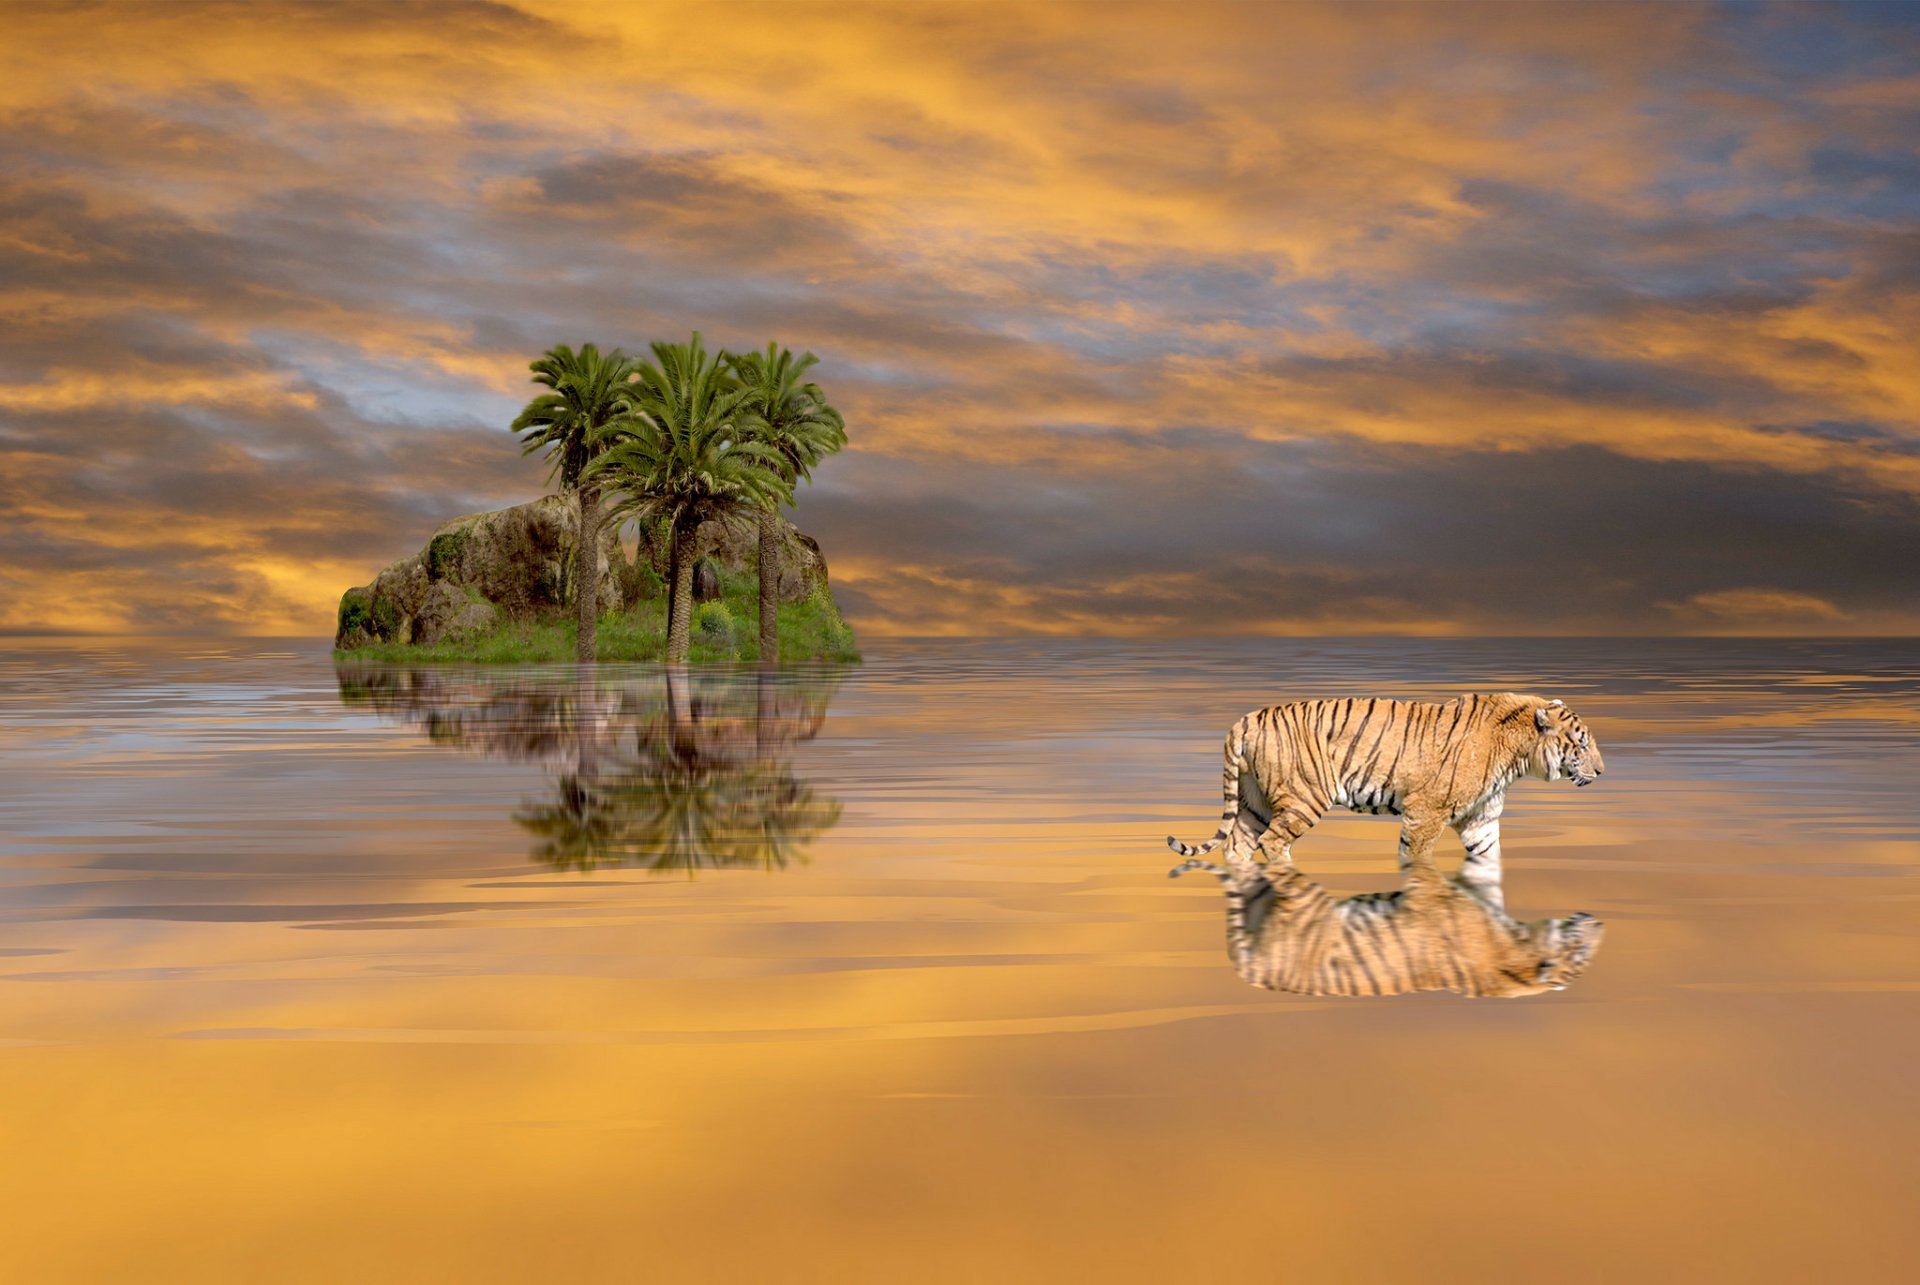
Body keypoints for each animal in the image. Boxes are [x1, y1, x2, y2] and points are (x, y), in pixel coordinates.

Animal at [1166, 693, 1603, 907]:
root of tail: (1247, 719)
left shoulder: (1480, 820)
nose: (1601, 772)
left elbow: (1488, 861)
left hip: (1253, 804)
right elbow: (1417, 859)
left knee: (1238, 846)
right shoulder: (1426, 813)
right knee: (1272, 843)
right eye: (1581, 744)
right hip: (1304, 798)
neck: (1517, 756)